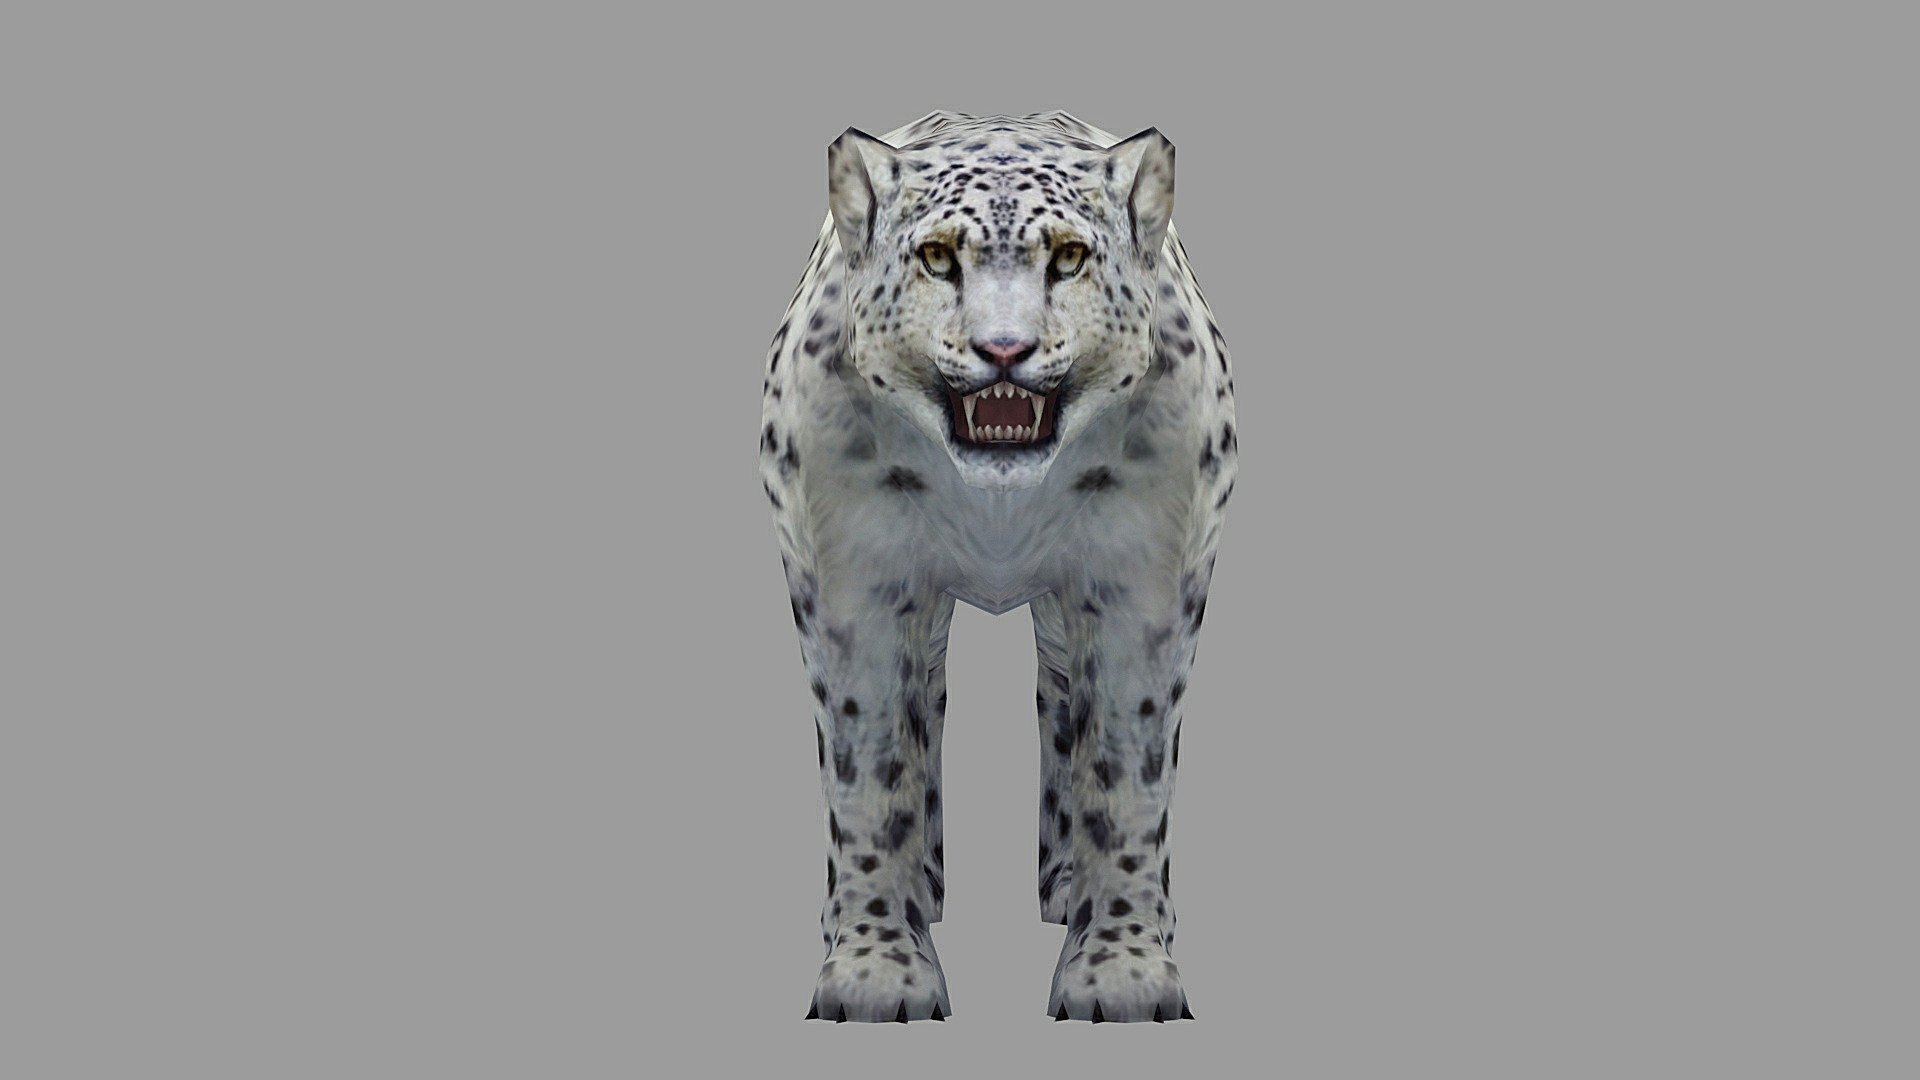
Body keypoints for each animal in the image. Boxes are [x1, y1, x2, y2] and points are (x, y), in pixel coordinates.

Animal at [757, 110, 1236, 1024]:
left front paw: (1122, 973)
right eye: (939, 255)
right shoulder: (854, 571)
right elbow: (872, 767)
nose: (1005, 351)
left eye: (1070, 256)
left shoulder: (1143, 571)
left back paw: (1066, 886)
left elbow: (1127, 769)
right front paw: (876, 973)